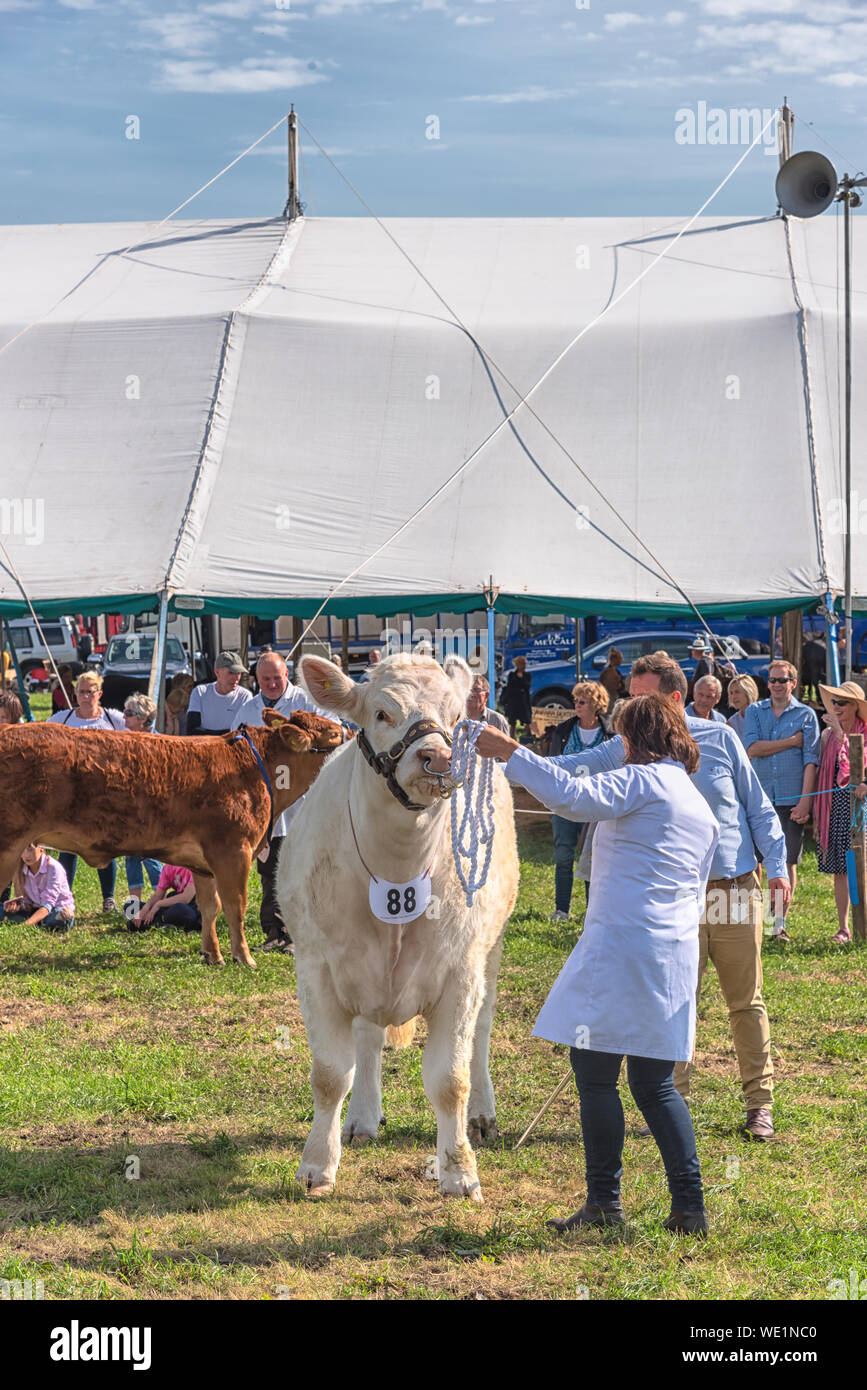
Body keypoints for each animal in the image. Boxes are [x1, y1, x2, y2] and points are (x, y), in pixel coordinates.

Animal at [0, 710, 344, 967]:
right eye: (335, 734)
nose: (351, 730)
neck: (256, 770)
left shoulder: (204, 863)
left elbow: (210, 907)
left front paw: (212, 955)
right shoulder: (234, 850)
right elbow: (236, 905)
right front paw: (243, 957)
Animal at [279, 652, 520, 1204]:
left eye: (454, 717)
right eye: (382, 713)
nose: (437, 758)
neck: (397, 873)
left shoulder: (461, 972)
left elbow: (451, 1078)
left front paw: (459, 1171)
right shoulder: (317, 968)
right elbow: (331, 1074)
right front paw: (317, 1165)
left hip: (492, 951)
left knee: (481, 1031)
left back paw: (482, 1115)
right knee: (368, 1040)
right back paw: (363, 1119)